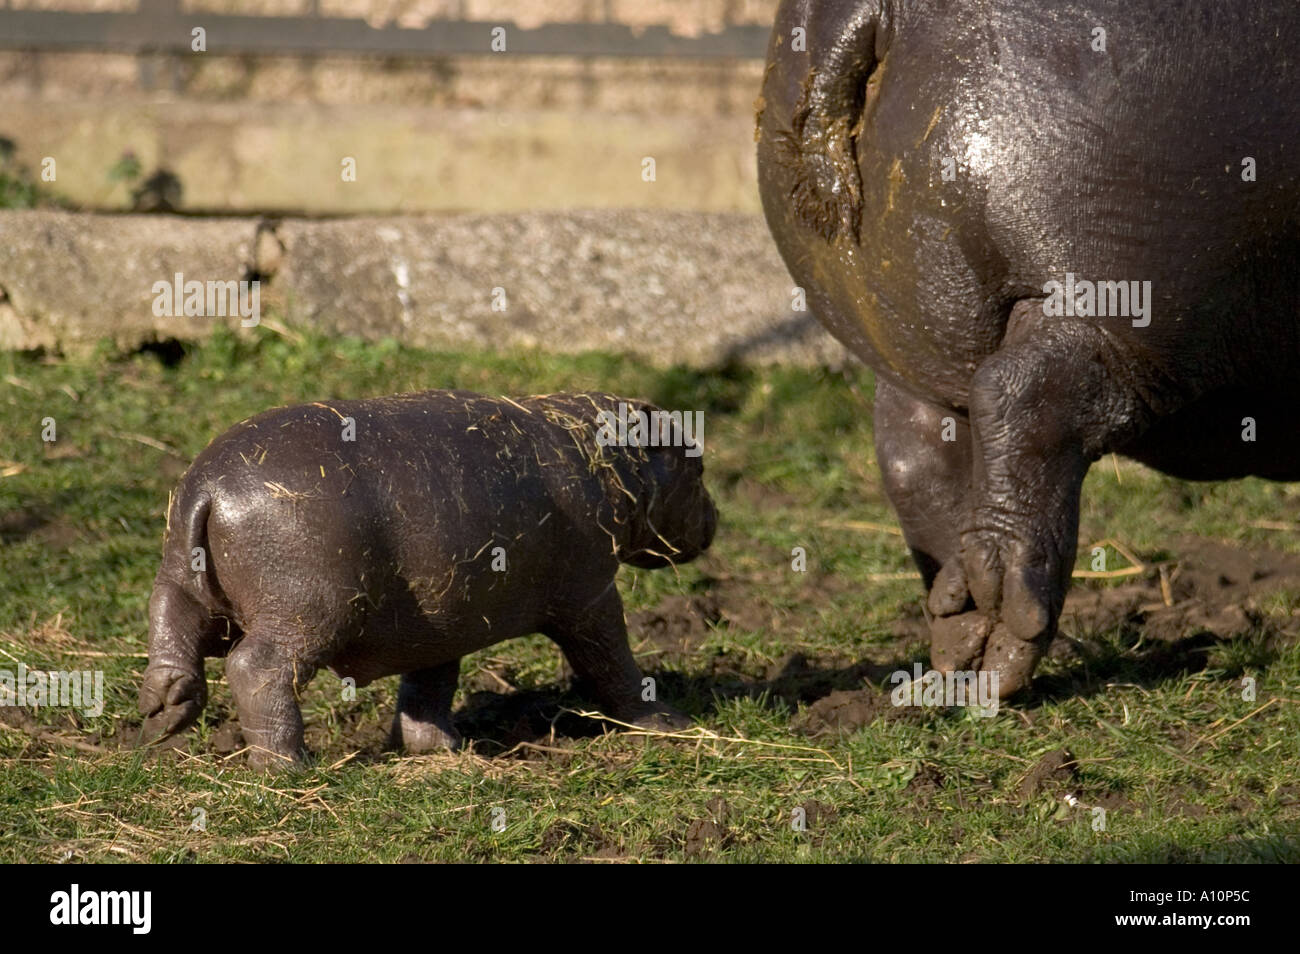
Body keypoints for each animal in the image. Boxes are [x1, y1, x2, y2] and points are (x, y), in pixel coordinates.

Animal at [138, 390, 716, 767]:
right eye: (698, 465)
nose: (716, 517)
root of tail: (207, 487)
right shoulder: (590, 593)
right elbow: (613, 660)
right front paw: (670, 722)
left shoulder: (442, 613)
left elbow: (430, 682)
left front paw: (441, 750)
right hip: (308, 609)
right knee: (257, 669)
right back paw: (289, 767)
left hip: (180, 572)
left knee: (170, 624)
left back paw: (161, 717)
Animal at [757, 0, 1300, 694]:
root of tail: (865, 10)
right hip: (1105, 310)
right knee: (1022, 401)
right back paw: (1012, 645)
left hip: (903, 338)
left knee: (918, 453)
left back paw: (963, 639)